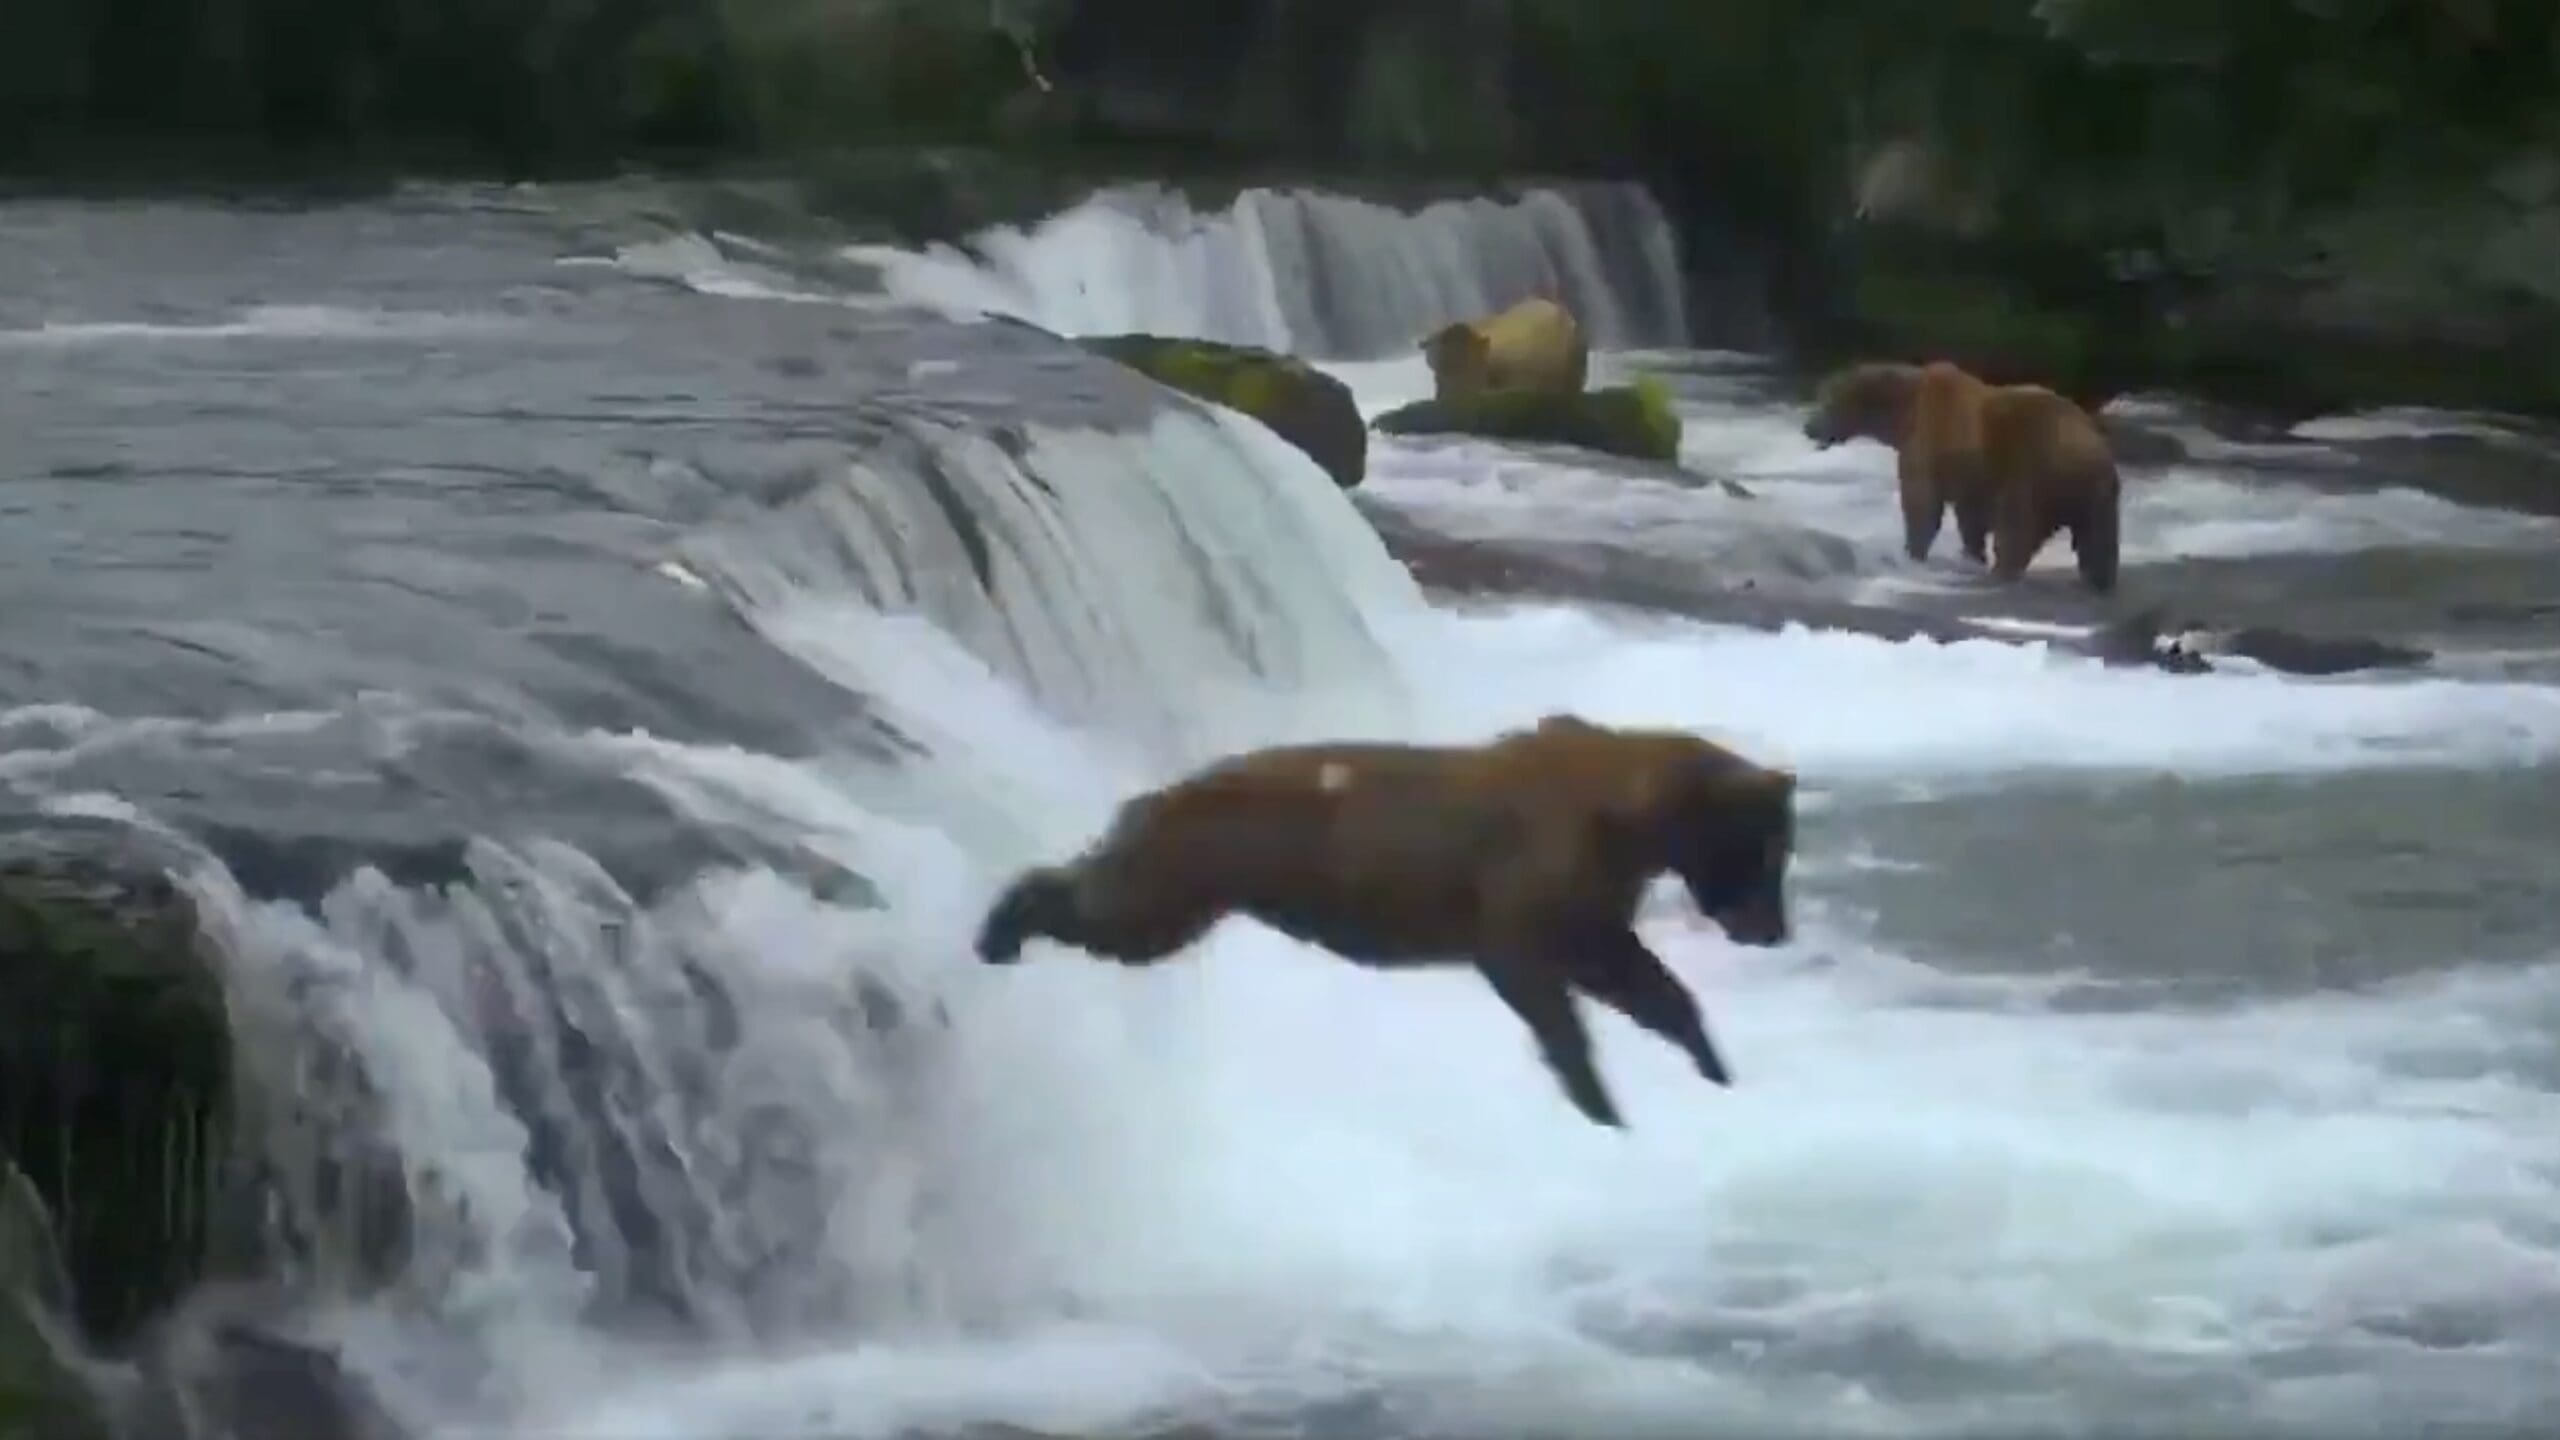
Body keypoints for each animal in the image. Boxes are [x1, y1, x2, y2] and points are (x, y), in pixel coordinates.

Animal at [974, 713, 1798, 1129]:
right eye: (1766, 853)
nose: (1774, 928)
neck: (1627, 817)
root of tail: (1154, 791)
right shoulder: (1526, 891)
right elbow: (1540, 981)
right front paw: (1597, 1099)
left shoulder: (1594, 906)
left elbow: (1636, 978)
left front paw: (1710, 1064)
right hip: (1189, 865)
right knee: (1110, 914)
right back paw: (1002, 926)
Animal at [1803, 359, 2122, 594]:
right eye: (1819, 395)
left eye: (1826, 400)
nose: (1808, 427)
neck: (1903, 412)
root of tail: (2097, 449)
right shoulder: (1971, 478)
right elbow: (1970, 519)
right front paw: (1970, 555)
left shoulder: (1930, 442)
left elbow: (1922, 504)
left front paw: (1913, 552)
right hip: (2097, 493)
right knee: (2098, 537)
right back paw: (2099, 578)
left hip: (2034, 469)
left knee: (2017, 524)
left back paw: (1999, 573)